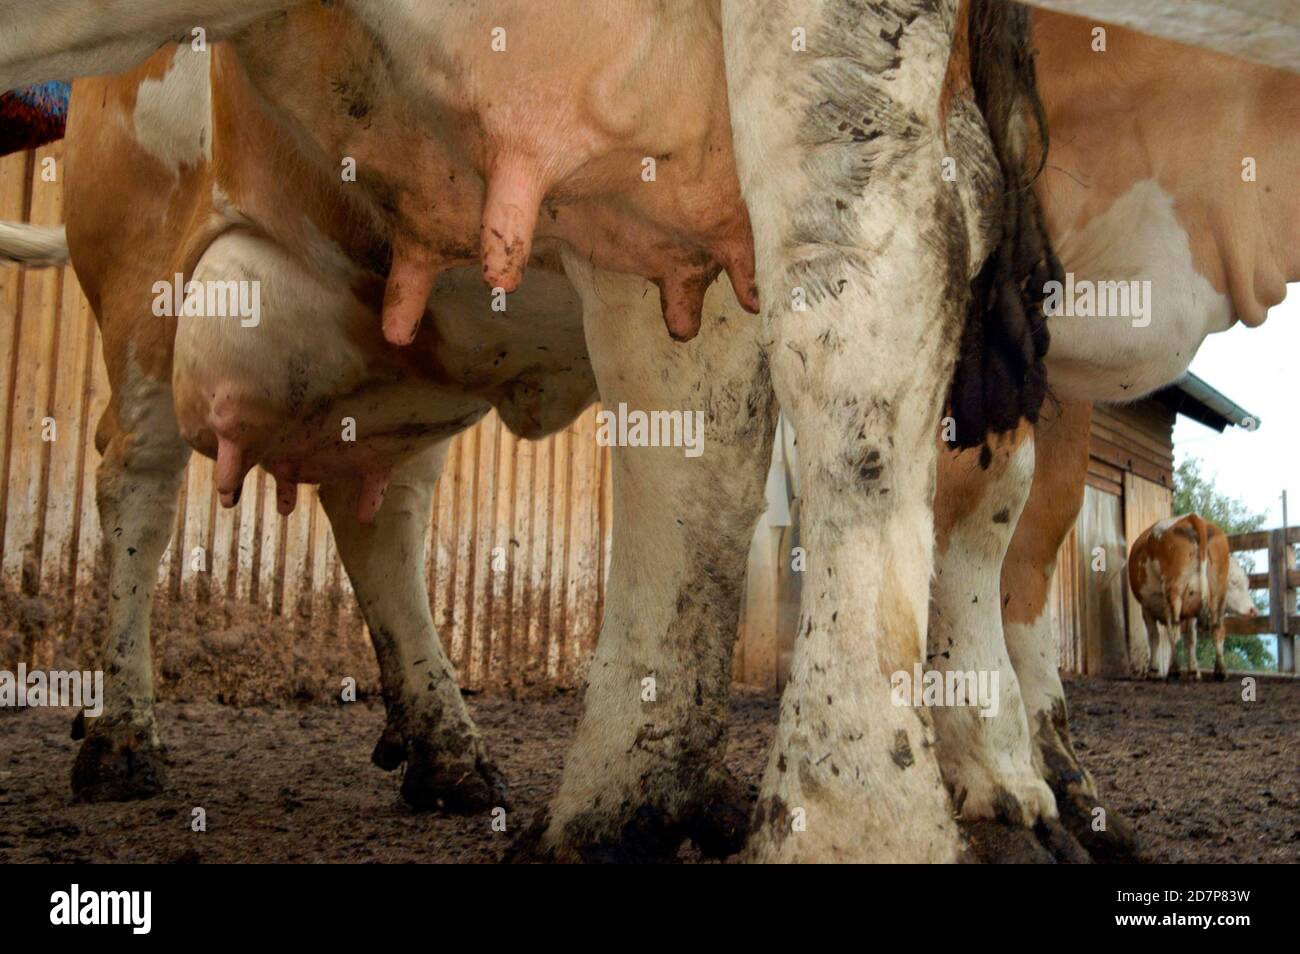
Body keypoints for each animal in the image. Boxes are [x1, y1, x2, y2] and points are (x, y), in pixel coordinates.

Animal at [1128, 514, 1259, 681]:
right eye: (1234, 582)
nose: (1253, 610)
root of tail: (1193, 518)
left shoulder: (1146, 608)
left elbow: (1154, 638)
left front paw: (1153, 670)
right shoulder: (1186, 612)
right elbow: (1190, 639)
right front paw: (1194, 671)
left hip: (1174, 591)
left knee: (1173, 631)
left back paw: (1174, 670)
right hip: (1218, 593)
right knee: (1218, 630)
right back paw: (1221, 671)